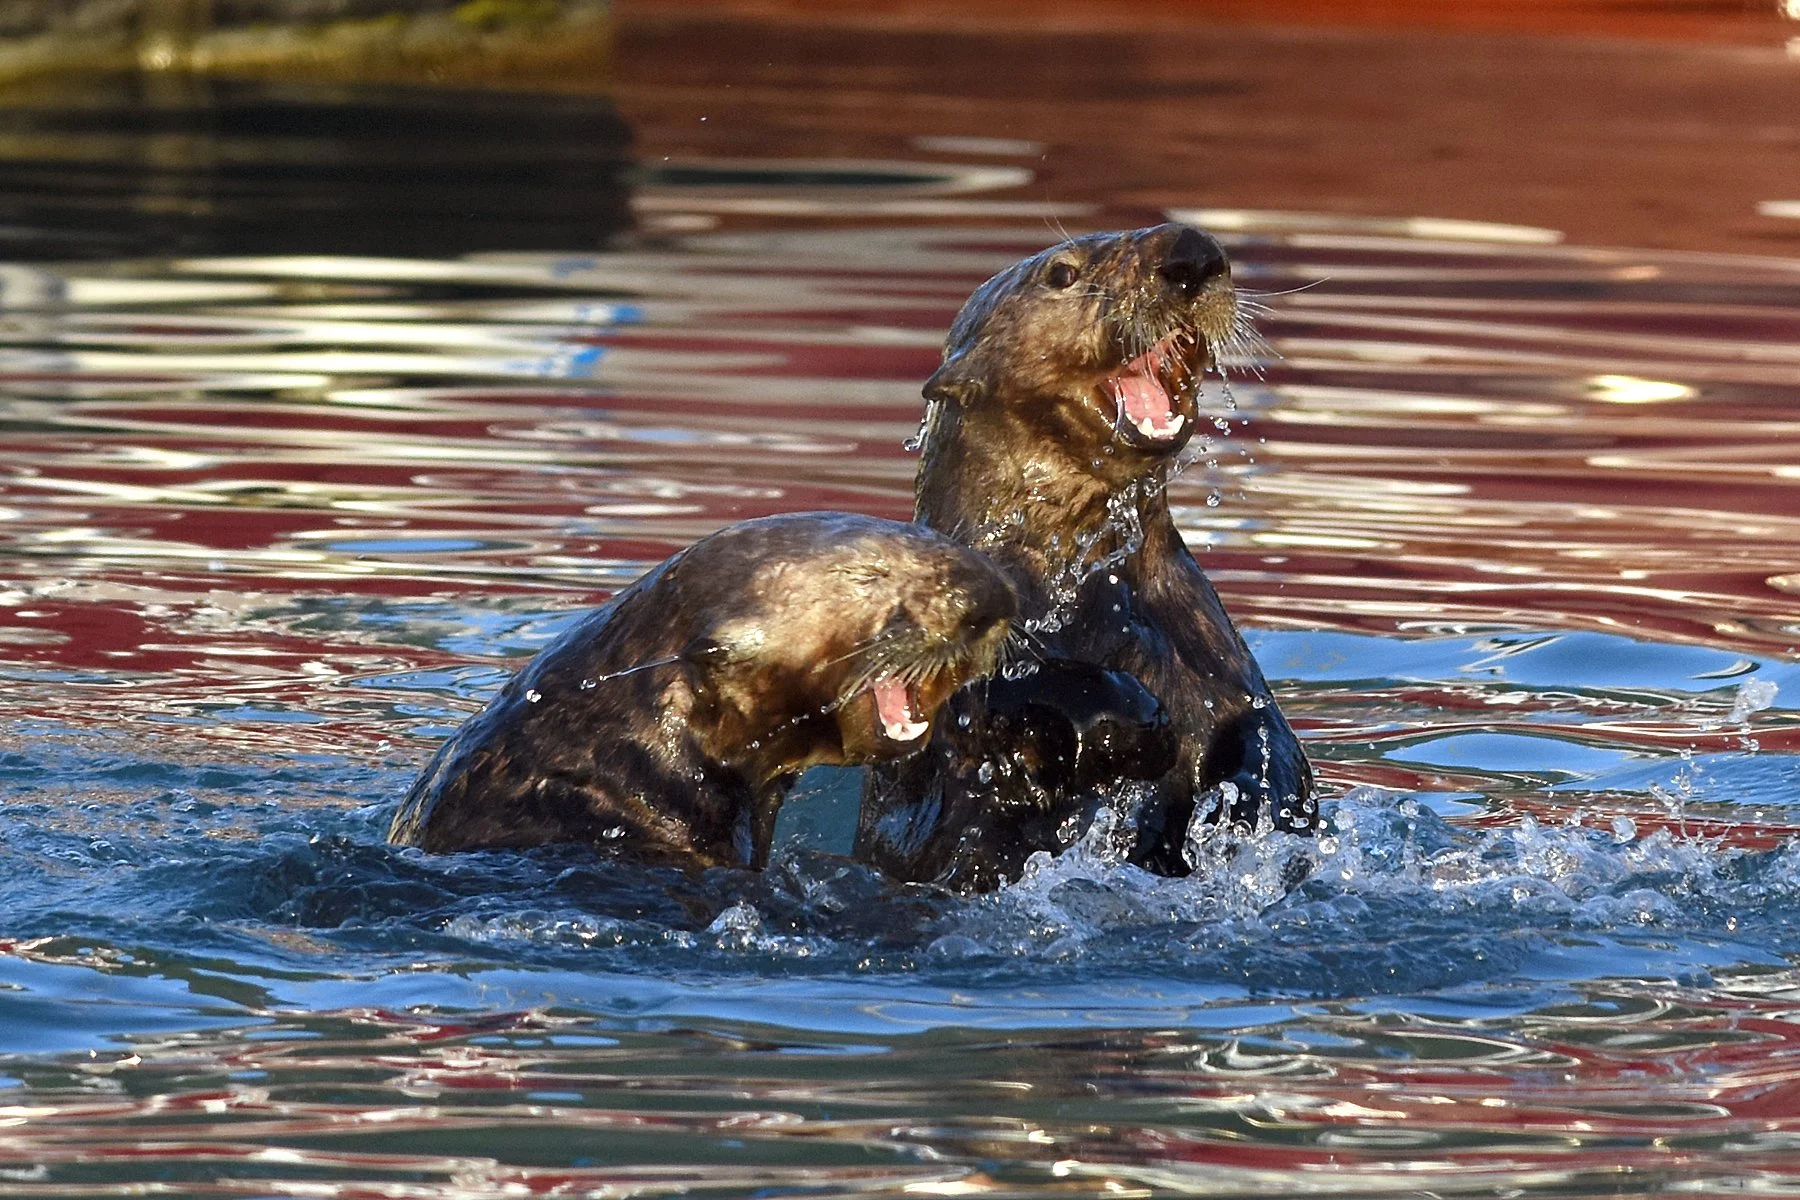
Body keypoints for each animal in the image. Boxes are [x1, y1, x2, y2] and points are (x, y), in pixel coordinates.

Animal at [856, 224, 1316, 891]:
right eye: (1062, 274)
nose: (1190, 254)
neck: (1097, 593)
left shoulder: (1220, 655)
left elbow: (1265, 739)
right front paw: (1128, 719)